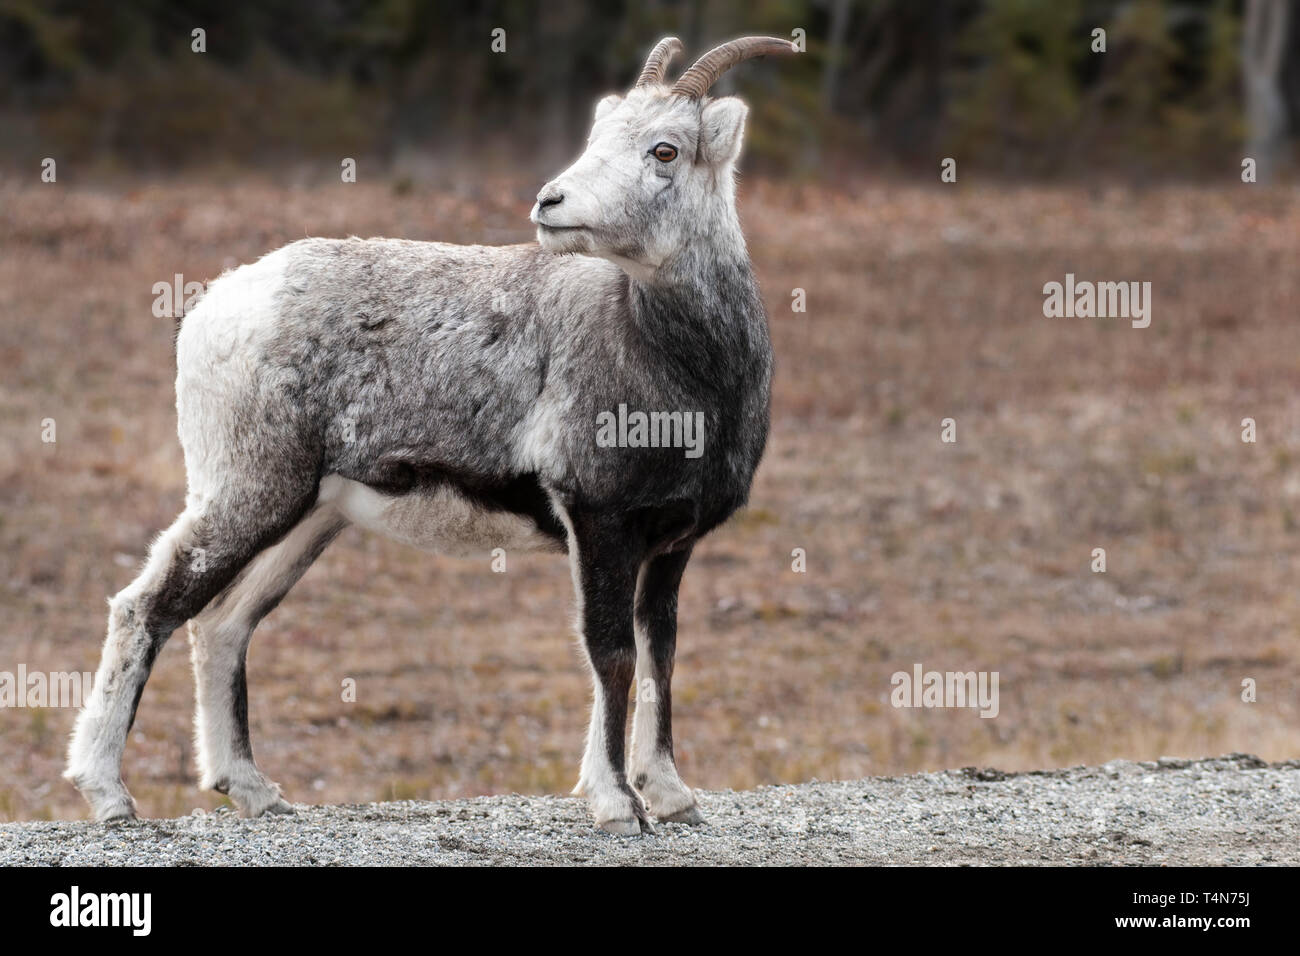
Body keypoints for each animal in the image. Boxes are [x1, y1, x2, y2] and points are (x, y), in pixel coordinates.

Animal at [65, 35, 797, 835]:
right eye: (601, 133)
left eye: (665, 148)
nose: (551, 203)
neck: (675, 366)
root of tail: (213, 307)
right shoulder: (599, 521)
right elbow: (612, 654)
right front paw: (617, 805)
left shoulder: (670, 545)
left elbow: (659, 652)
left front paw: (672, 796)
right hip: (247, 494)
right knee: (147, 606)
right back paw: (110, 796)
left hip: (308, 518)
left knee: (223, 624)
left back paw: (256, 790)